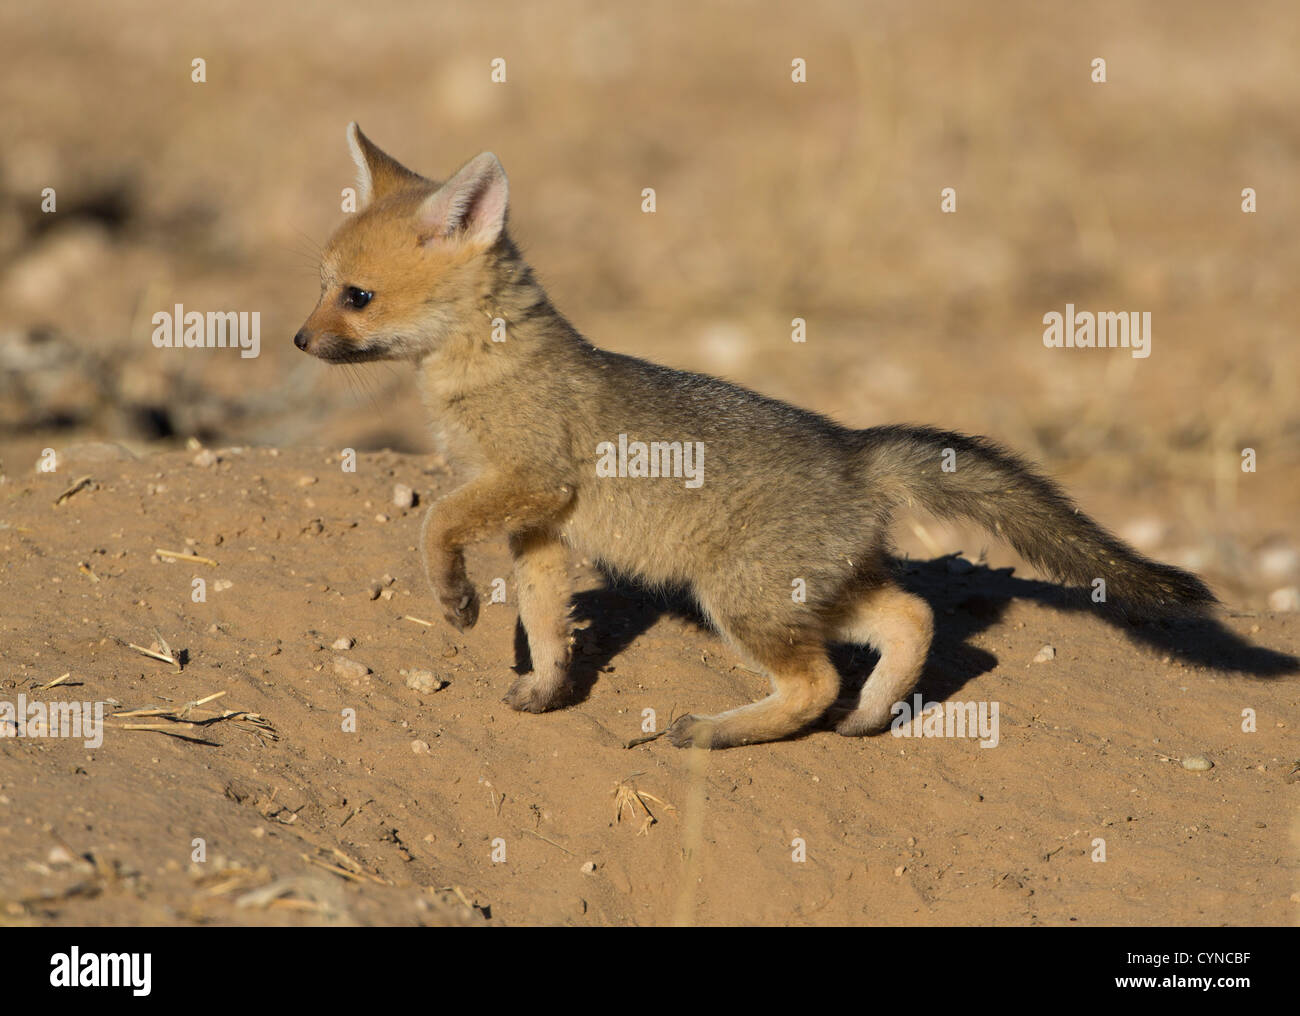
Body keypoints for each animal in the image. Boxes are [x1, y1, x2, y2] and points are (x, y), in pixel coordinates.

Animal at [293, 123, 1217, 749]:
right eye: (323, 285)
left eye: (357, 297)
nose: (299, 341)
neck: (485, 366)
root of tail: (854, 449)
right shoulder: (540, 529)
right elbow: (546, 618)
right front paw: (547, 689)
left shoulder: (529, 486)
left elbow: (434, 524)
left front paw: (454, 601)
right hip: (809, 593)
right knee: (911, 616)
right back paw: (870, 715)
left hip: (739, 602)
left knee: (816, 681)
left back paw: (716, 730)